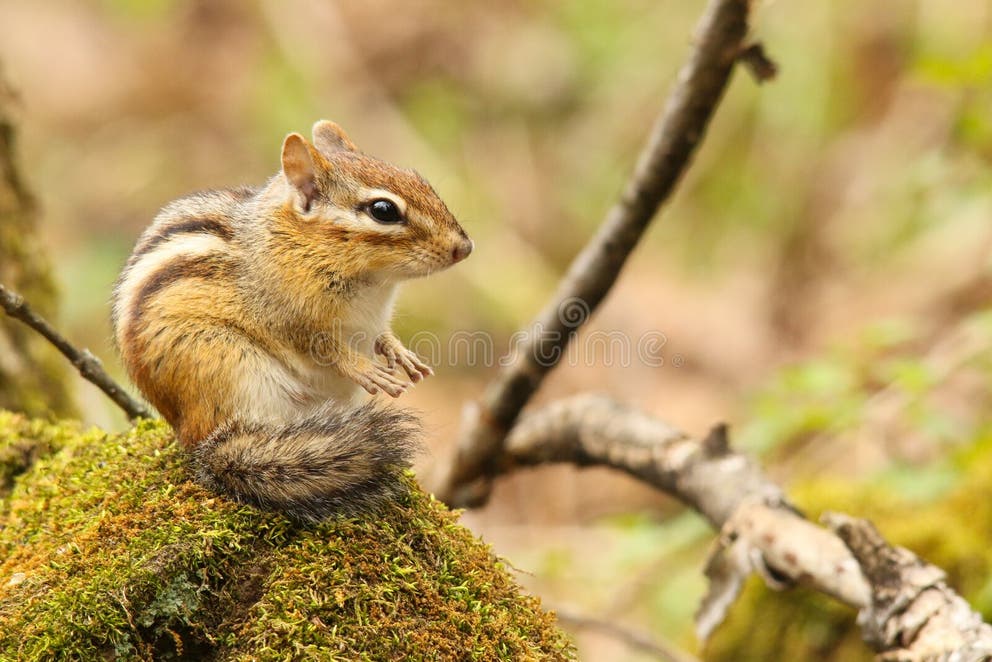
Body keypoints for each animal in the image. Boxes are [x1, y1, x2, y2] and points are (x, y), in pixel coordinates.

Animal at [111, 120, 472, 522]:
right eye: (383, 210)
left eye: (418, 178)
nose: (464, 247)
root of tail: (192, 437)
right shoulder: (286, 317)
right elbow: (323, 348)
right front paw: (366, 369)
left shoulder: (374, 320)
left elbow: (382, 336)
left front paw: (399, 353)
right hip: (227, 365)